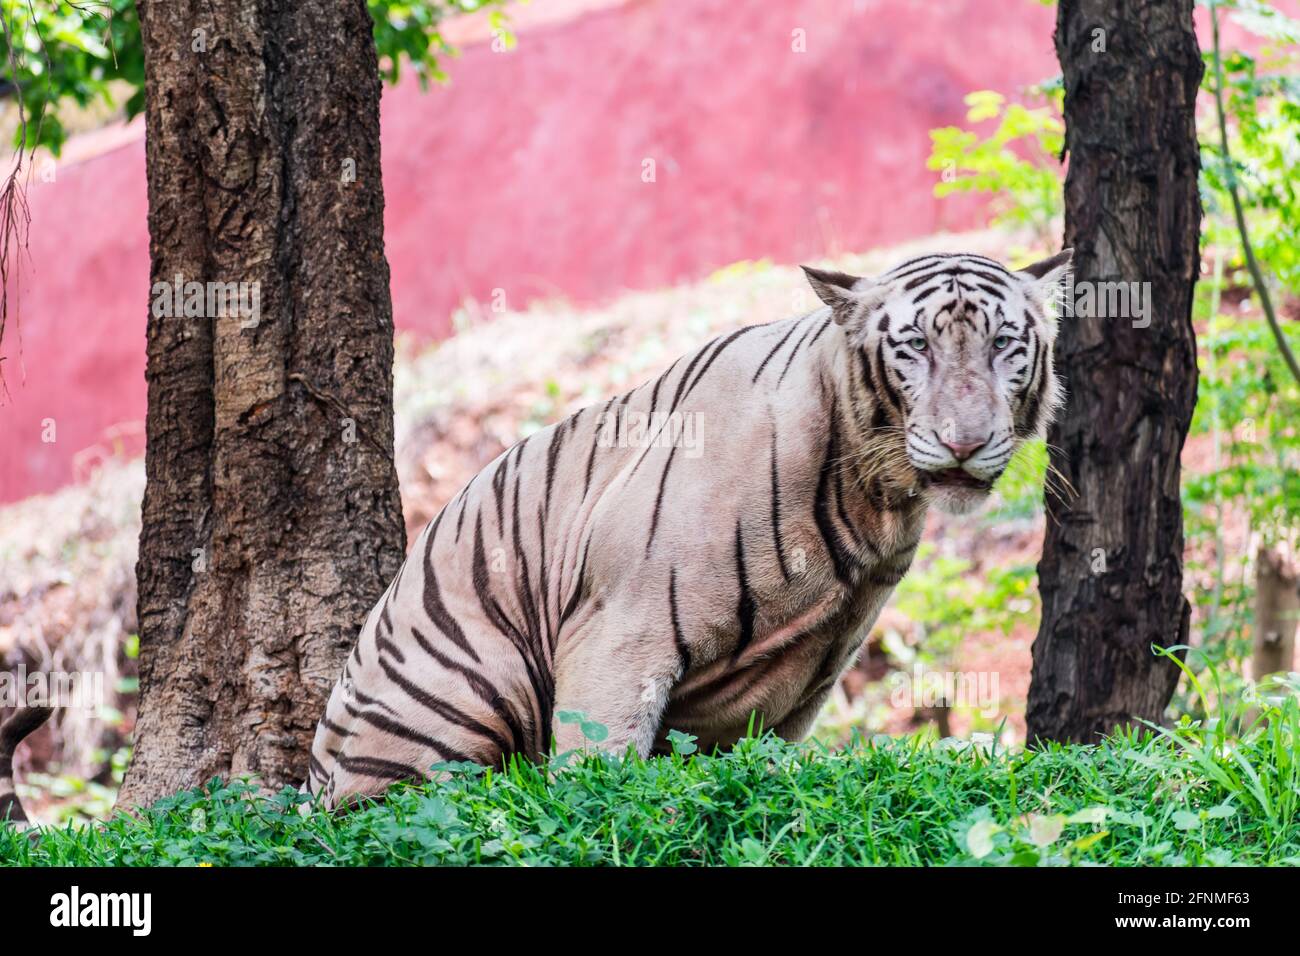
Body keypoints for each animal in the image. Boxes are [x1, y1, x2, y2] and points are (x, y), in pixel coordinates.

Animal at [301, 249, 1071, 809]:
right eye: (914, 347)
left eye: (1004, 345)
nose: (966, 442)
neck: (869, 493)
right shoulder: (618, 633)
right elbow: (596, 768)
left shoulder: (803, 679)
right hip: (467, 686)